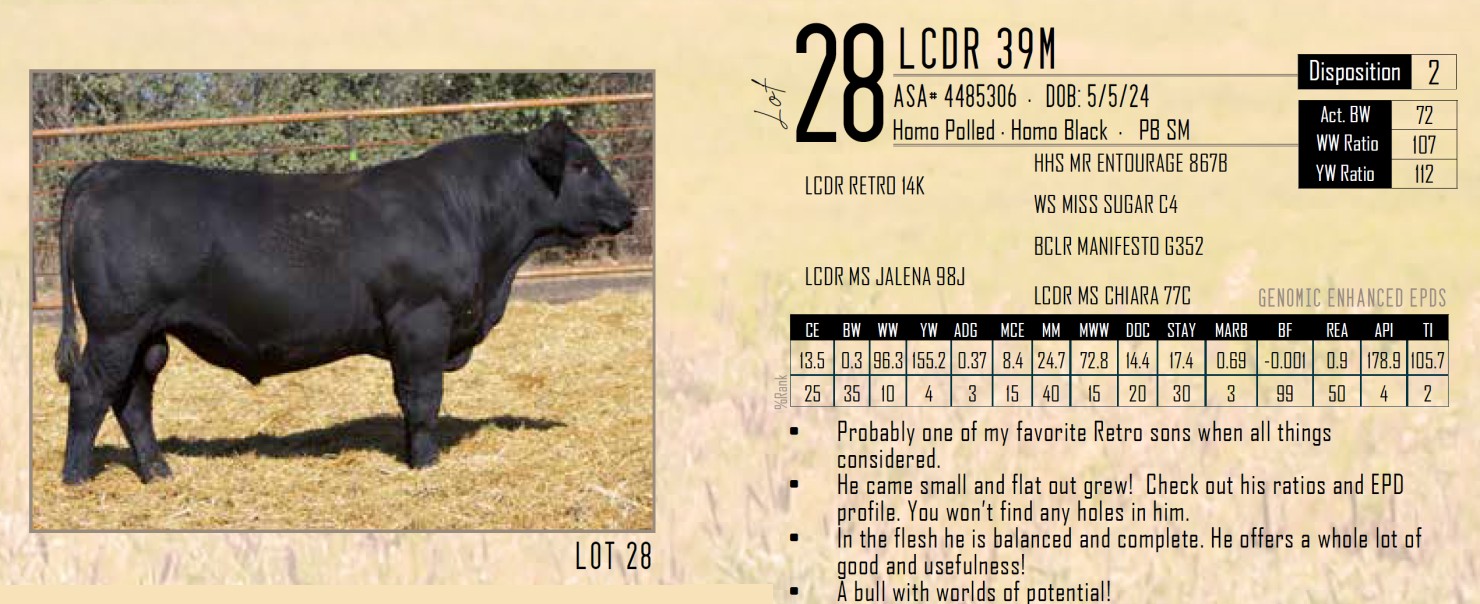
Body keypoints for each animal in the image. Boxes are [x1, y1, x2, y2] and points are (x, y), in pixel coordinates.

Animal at [51, 117, 635, 484]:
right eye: (582, 166)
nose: (629, 208)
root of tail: (110, 168)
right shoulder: (422, 321)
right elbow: (423, 398)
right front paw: (425, 464)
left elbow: (409, 400)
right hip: (116, 327)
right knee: (90, 390)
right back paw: (76, 478)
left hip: (148, 335)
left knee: (133, 399)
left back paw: (159, 472)